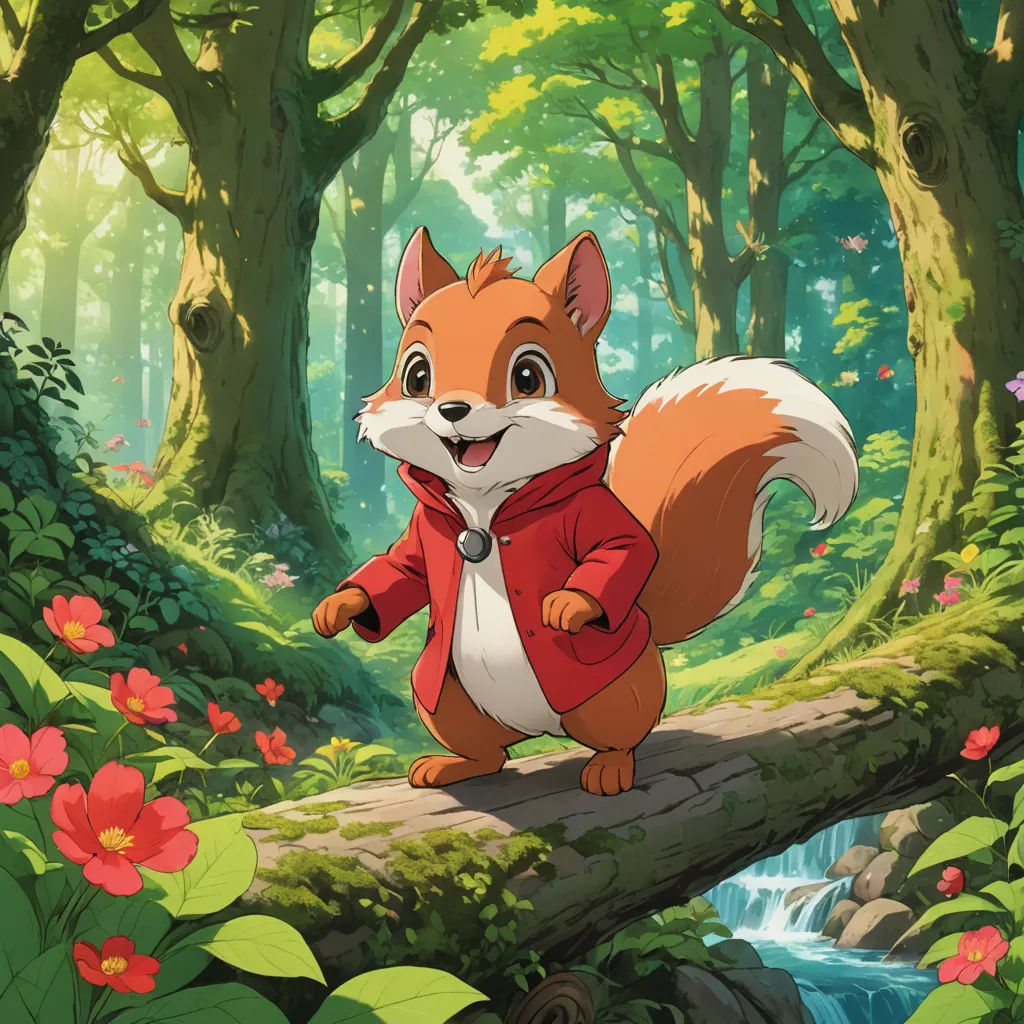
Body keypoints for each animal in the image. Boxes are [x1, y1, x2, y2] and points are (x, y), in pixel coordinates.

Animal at [312, 227, 858, 797]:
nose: (453, 409)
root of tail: (536, 728)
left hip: (611, 697)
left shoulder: (590, 513)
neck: (485, 504)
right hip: (445, 698)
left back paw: (609, 768)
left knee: (620, 734)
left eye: (528, 376)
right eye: (417, 376)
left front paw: (568, 604)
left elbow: (624, 547)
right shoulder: (426, 530)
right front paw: (340, 606)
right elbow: (403, 569)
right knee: (490, 752)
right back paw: (452, 765)